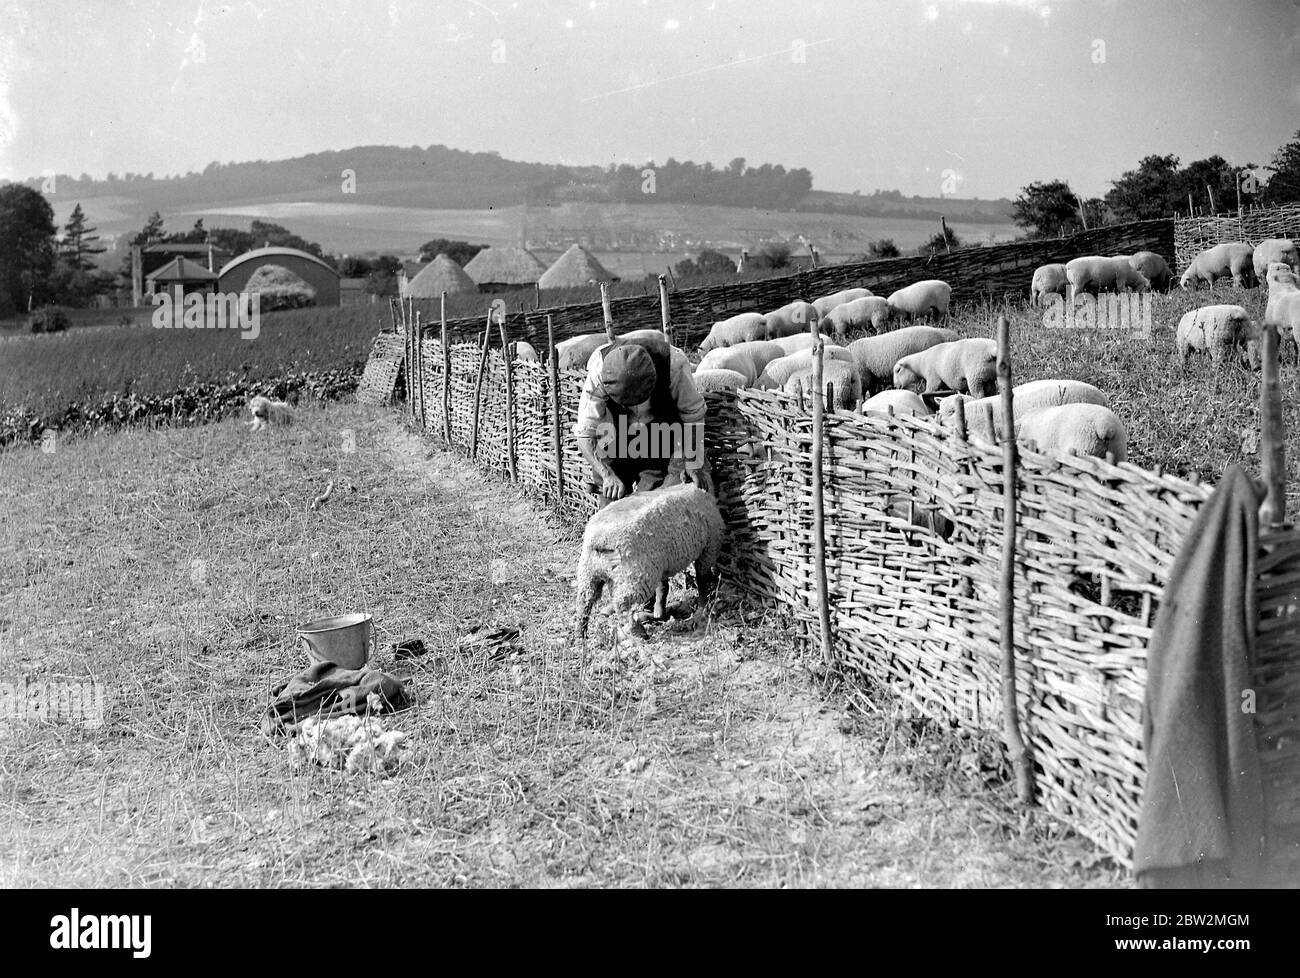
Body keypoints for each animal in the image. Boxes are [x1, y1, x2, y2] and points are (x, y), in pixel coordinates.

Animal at [574, 482, 724, 641]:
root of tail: (599, 540)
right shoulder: (708, 549)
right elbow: (702, 579)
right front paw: (703, 607)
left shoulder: (663, 564)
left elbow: (663, 587)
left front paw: (660, 612)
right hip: (637, 575)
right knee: (623, 604)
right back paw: (638, 632)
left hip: (589, 573)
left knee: (584, 601)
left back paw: (580, 634)